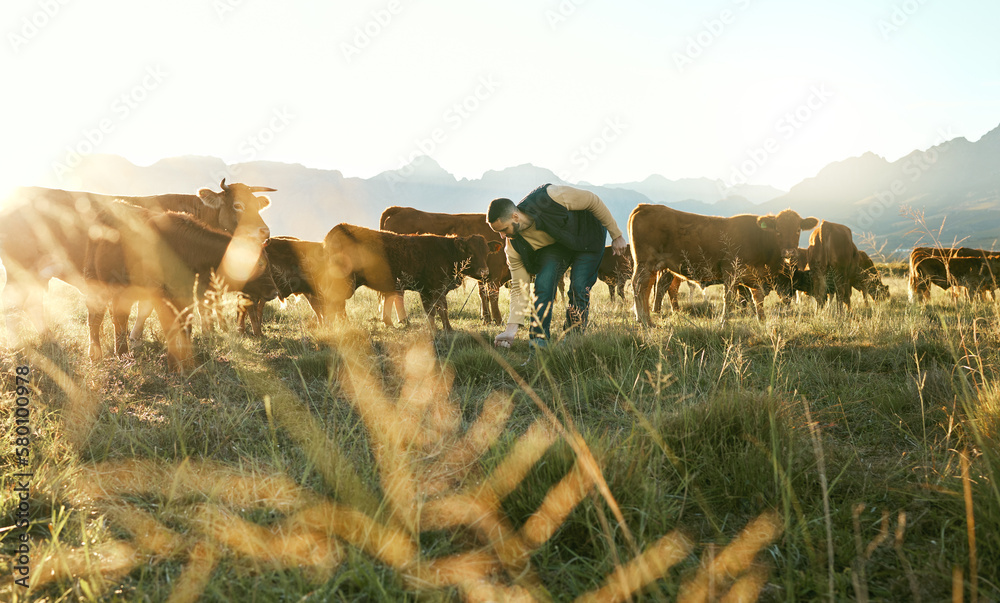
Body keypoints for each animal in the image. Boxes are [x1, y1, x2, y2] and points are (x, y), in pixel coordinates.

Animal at [0, 180, 275, 342]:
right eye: (238, 205)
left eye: (257, 206)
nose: (264, 231)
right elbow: (147, 308)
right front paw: (133, 338)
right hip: (18, 270)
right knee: (13, 306)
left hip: (36, 273)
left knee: (32, 303)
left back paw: (46, 336)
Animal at [85, 204, 277, 372]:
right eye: (260, 263)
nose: (274, 292)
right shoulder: (161, 296)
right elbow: (170, 328)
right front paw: (174, 366)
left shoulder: (187, 297)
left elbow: (185, 328)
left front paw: (187, 362)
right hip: (96, 284)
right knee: (95, 319)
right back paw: (96, 355)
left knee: (119, 318)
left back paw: (123, 353)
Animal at [320, 224, 499, 333]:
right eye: (470, 252)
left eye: (487, 252)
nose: (484, 271)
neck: (447, 253)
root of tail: (339, 228)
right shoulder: (430, 289)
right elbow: (435, 310)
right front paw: (438, 329)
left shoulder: (436, 290)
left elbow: (439, 309)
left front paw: (445, 329)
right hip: (345, 281)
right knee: (335, 301)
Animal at [378, 206, 510, 325]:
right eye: (470, 253)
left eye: (487, 252)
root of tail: (401, 209)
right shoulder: (493, 274)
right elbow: (492, 295)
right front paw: (498, 320)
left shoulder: (483, 274)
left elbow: (483, 295)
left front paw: (486, 319)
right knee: (398, 295)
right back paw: (403, 320)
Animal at [629, 205, 817, 325]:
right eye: (778, 230)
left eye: (798, 230)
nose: (789, 252)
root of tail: (644, 206)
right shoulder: (730, 271)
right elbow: (729, 298)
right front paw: (724, 322)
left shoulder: (755, 278)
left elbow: (758, 300)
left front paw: (761, 320)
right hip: (645, 263)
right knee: (639, 286)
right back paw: (644, 320)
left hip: (655, 267)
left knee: (651, 288)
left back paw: (647, 318)